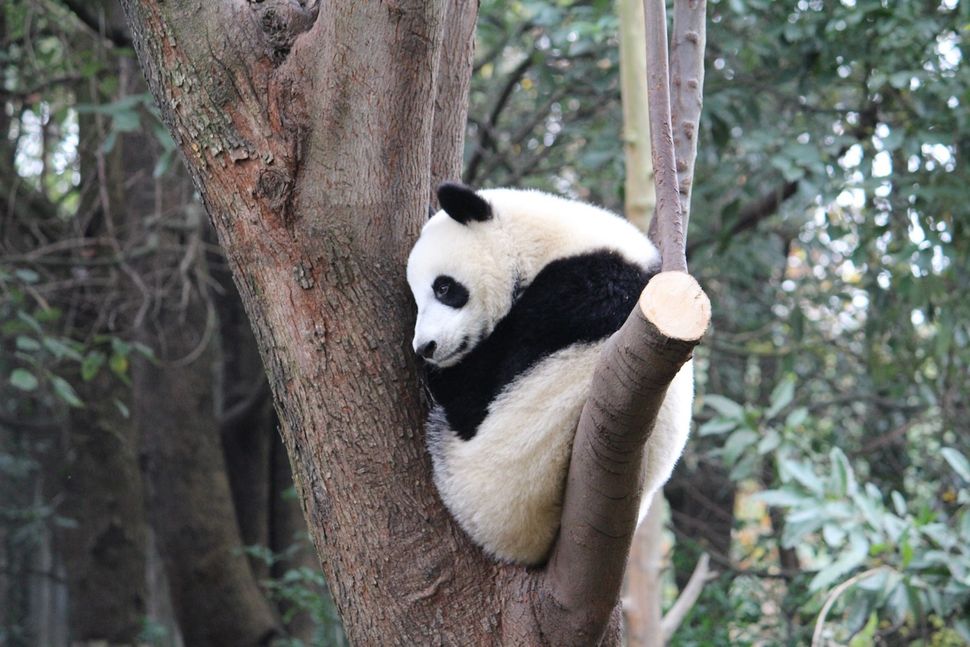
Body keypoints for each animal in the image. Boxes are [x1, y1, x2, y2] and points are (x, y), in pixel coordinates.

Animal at [406, 182, 693, 565]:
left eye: (444, 288)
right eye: (416, 298)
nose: (426, 347)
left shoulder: (579, 291)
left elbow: (473, 391)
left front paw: (447, 378)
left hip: (480, 488)